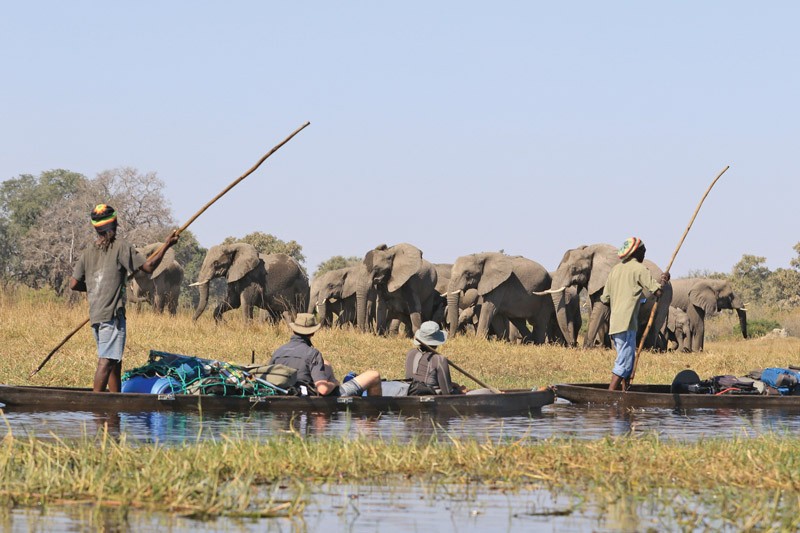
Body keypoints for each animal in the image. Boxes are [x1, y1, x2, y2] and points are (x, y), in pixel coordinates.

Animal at [542, 243, 672, 350]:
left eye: (574, 269)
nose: (572, 345)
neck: (589, 251)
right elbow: (597, 308)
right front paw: (603, 347)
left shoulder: (606, 279)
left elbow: (601, 308)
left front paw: (586, 348)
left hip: (665, 297)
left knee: (655, 324)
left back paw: (650, 349)